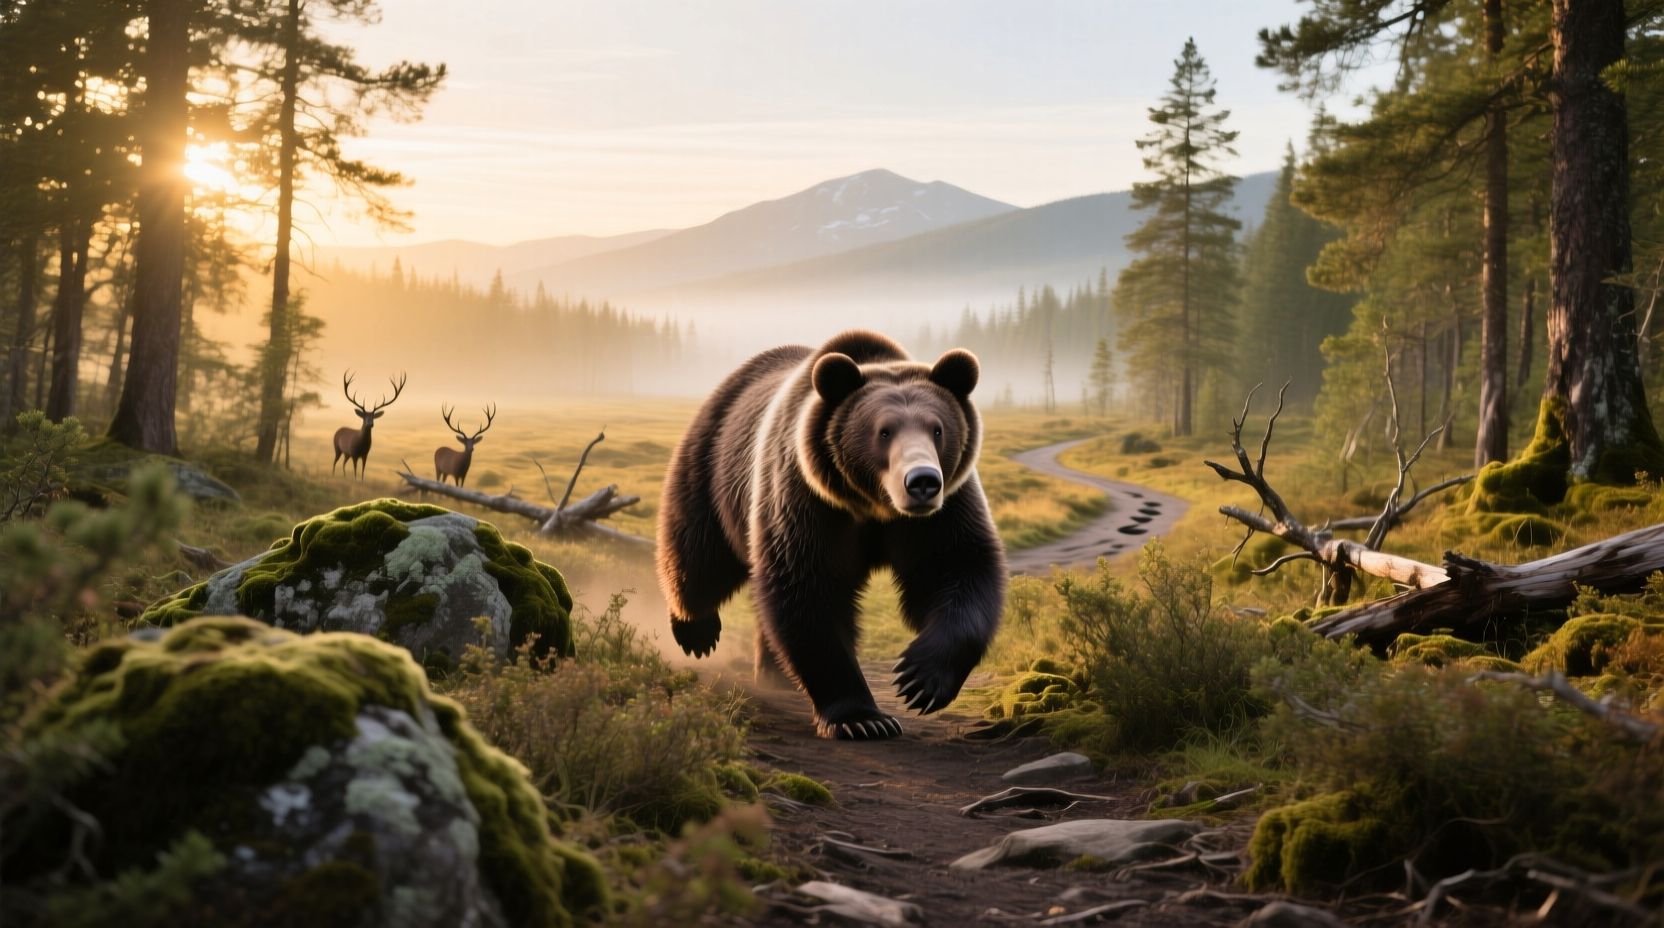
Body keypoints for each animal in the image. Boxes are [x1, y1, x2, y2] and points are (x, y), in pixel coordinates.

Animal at [656, 329, 1007, 740]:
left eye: (938, 429)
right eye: (883, 430)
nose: (922, 481)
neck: (873, 504)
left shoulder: (940, 513)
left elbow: (957, 567)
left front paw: (919, 679)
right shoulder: (806, 499)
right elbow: (807, 588)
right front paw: (862, 719)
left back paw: (774, 673)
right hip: (714, 464)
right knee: (699, 553)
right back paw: (696, 630)